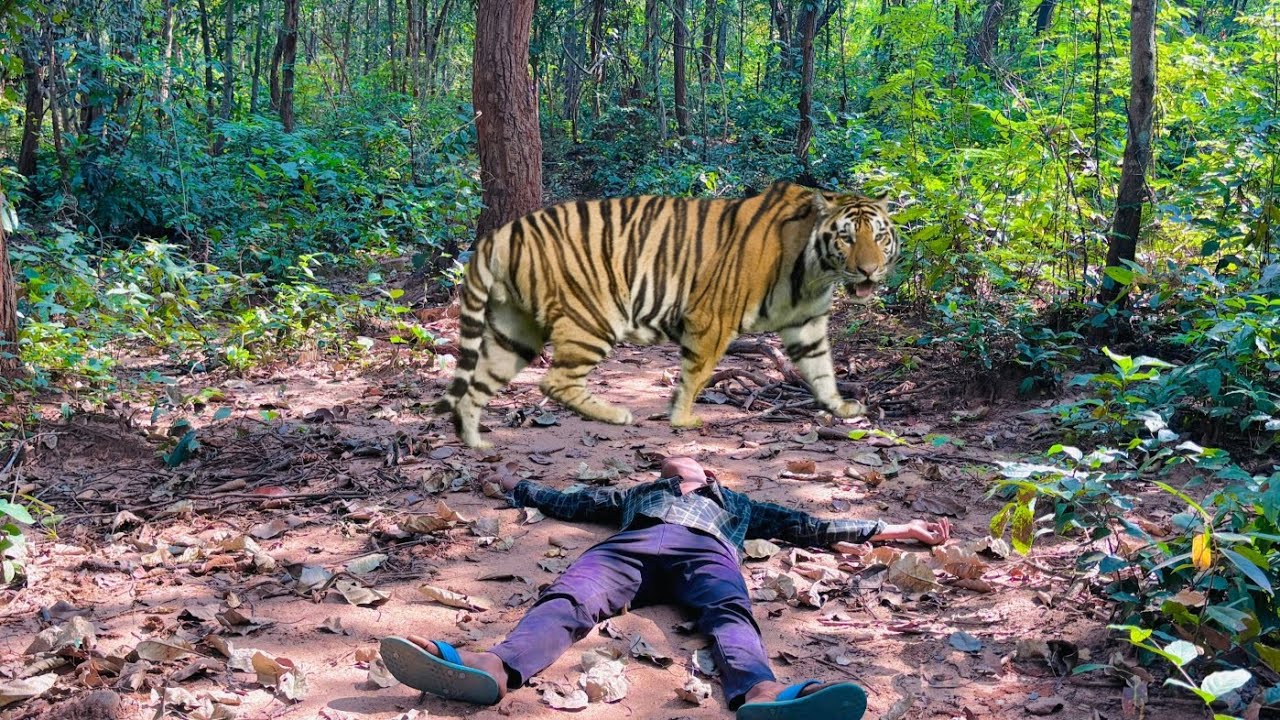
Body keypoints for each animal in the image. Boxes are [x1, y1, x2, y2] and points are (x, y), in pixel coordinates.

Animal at [435, 181, 900, 449]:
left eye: (879, 237)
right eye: (846, 238)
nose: (869, 270)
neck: (816, 272)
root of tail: (499, 234)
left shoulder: (807, 325)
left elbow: (822, 369)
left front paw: (841, 408)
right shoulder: (713, 317)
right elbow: (696, 372)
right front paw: (684, 418)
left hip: (515, 330)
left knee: (478, 385)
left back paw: (475, 442)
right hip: (593, 318)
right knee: (554, 381)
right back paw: (617, 415)